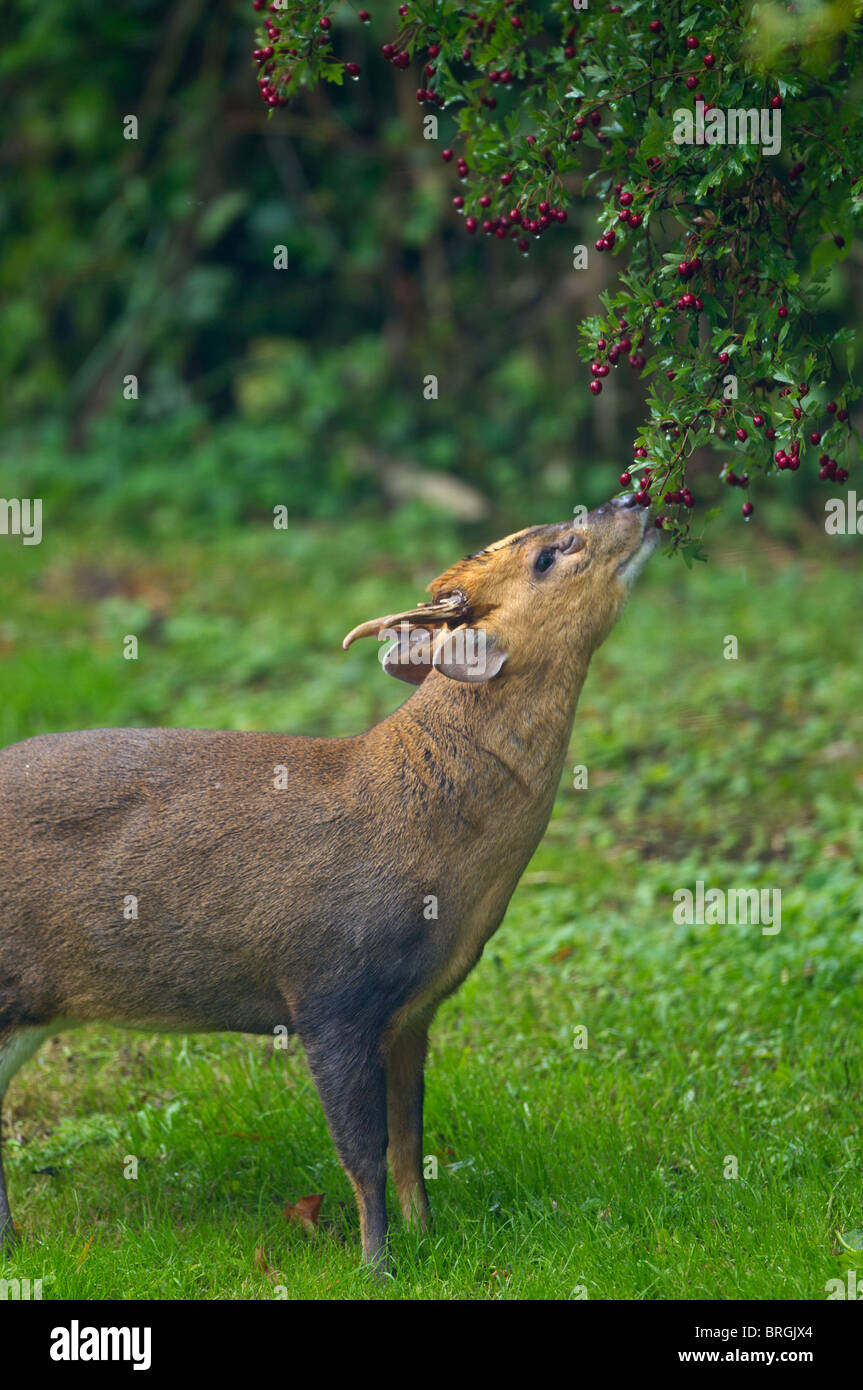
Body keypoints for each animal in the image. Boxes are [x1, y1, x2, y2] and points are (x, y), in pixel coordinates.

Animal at [0, 493, 658, 1270]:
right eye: (547, 555)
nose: (633, 499)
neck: (426, 836)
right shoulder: (327, 990)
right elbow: (362, 1153)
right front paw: (378, 1264)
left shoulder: (414, 1011)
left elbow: (408, 1144)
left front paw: (426, 1235)